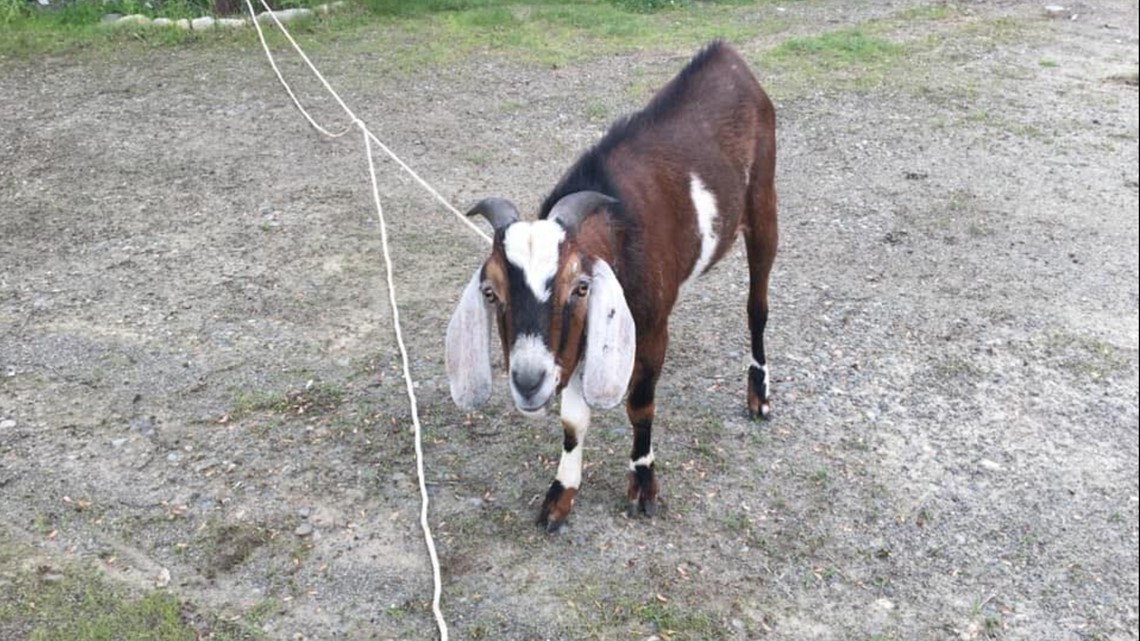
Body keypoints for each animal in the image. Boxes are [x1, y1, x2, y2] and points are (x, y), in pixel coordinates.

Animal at [446, 42, 777, 531]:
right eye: (491, 292)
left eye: (580, 286)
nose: (527, 381)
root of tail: (729, 58)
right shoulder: (577, 340)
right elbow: (572, 420)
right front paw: (560, 494)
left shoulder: (652, 327)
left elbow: (639, 404)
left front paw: (643, 483)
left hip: (764, 205)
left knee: (757, 307)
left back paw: (759, 394)